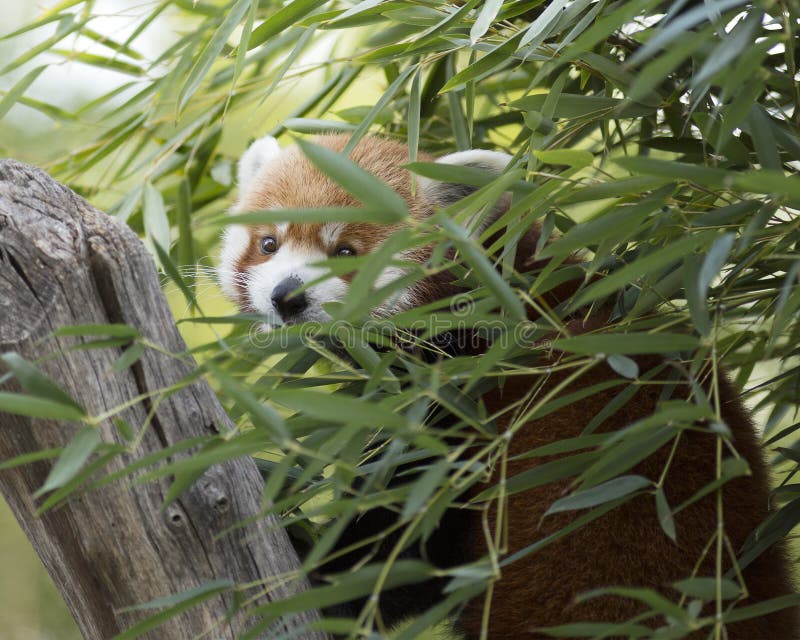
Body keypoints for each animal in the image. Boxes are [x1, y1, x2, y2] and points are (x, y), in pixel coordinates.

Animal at [219, 133, 797, 639]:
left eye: (345, 251)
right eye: (268, 243)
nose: (287, 296)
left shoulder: (467, 405)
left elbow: (403, 538)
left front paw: (317, 574)